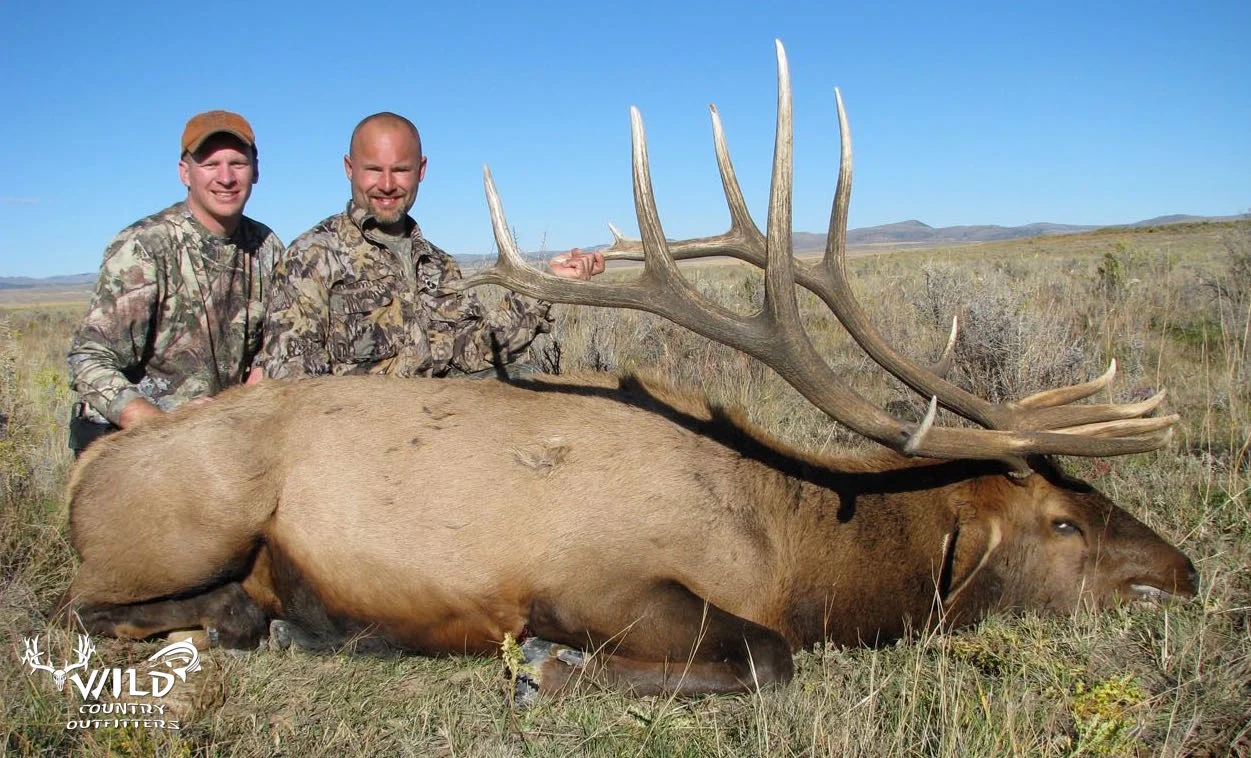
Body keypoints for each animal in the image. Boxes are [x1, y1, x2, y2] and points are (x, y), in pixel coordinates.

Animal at [60, 41, 1196, 698]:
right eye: (1062, 522)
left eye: (1088, 491)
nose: (1182, 571)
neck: (789, 549)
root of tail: (82, 477)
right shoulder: (595, 577)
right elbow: (766, 656)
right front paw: (554, 670)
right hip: (191, 525)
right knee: (117, 606)